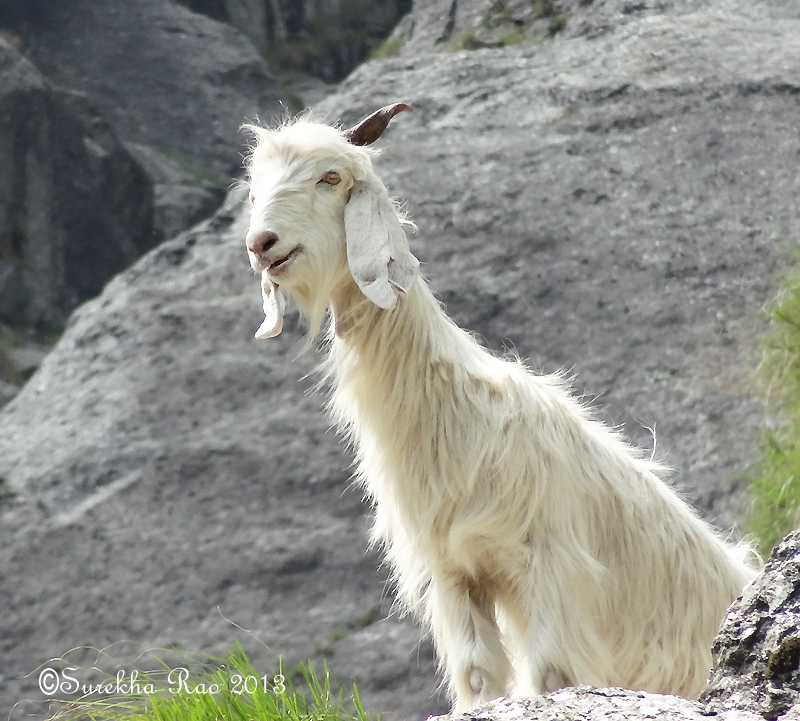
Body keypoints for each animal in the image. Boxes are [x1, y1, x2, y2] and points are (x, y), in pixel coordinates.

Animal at [243, 104, 759, 711]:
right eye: (255, 187)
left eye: (330, 177)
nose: (261, 243)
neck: (458, 408)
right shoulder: (453, 573)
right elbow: (477, 678)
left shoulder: (549, 563)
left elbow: (553, 677)